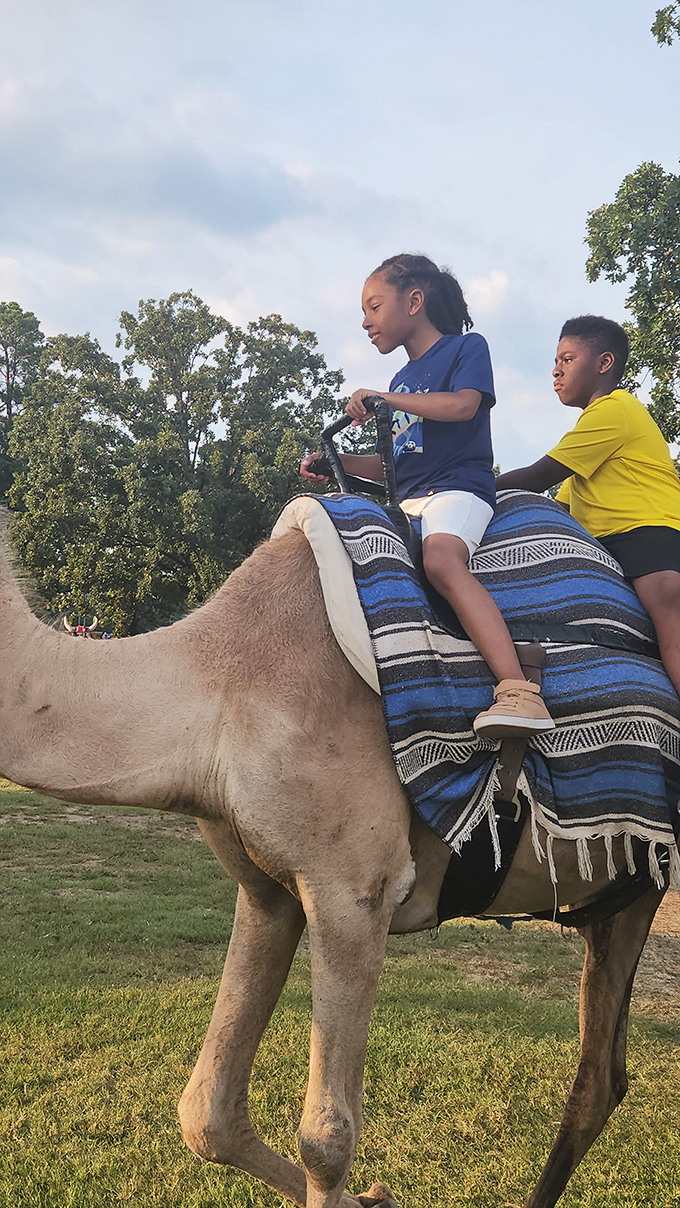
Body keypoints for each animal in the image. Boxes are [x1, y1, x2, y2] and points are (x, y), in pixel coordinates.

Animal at [0, 515, 670, 1208]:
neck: (216, 686)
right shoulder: (270, 890)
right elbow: (207, 1115)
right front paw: (376, 1197)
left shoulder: (354, 890)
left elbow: (327, 1139)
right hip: (624, 890)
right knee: (601, 1076)